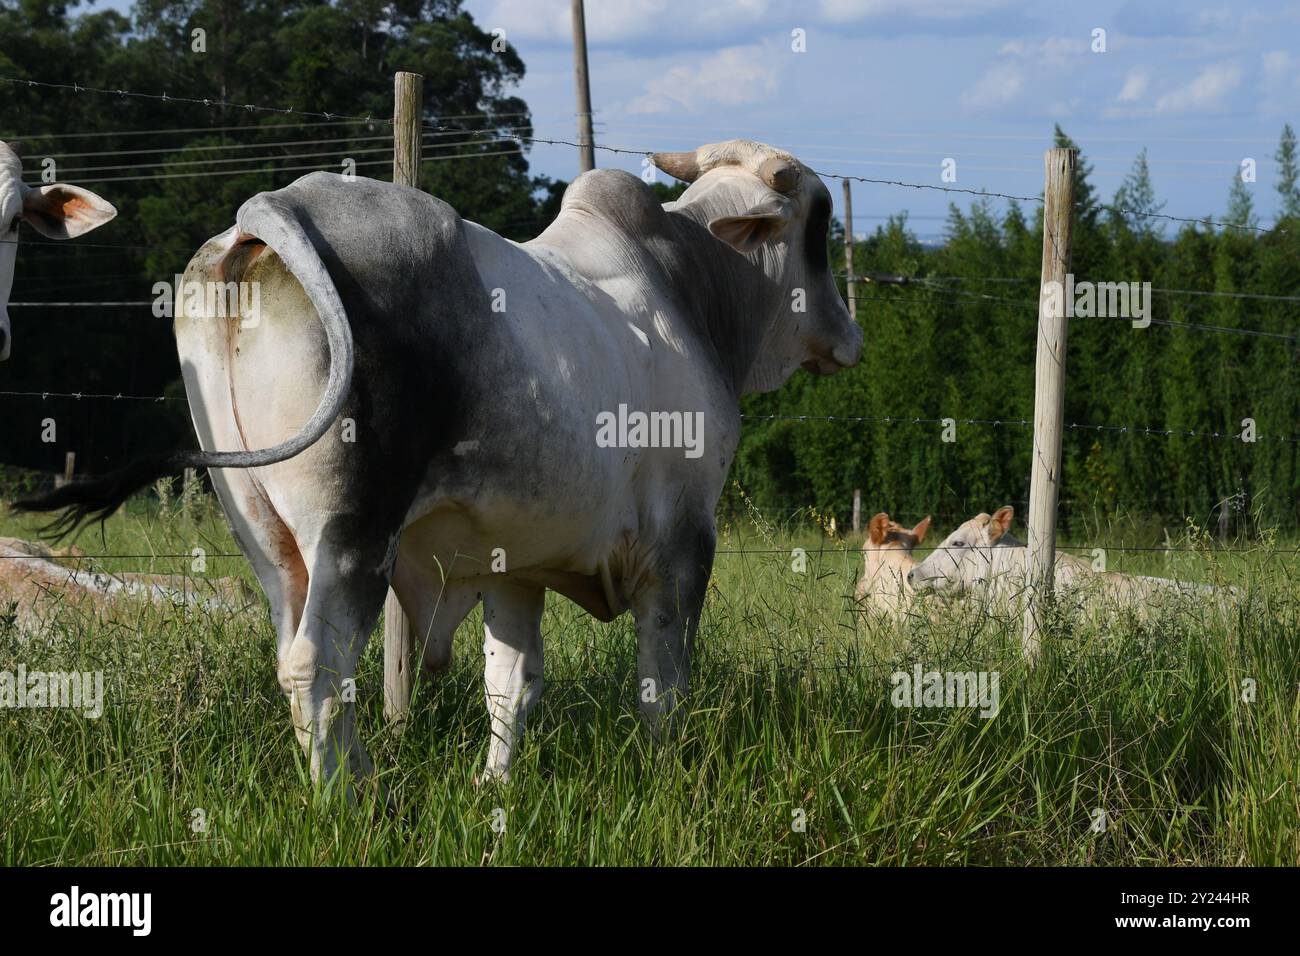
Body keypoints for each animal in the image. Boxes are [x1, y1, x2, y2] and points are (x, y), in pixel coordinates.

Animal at [16, 139, 863, 791]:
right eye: (821, 225)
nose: (849, 337)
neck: (695, 293)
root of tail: (281, 202)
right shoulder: (684, 544)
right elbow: (663, 689)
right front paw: (665, 778)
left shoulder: (517, 564)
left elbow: (511, 684)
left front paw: (496, 787)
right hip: (352, 529)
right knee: (318, 665)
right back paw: (343, 802)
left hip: (263, 530)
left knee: (293, 655)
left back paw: (360, 780)